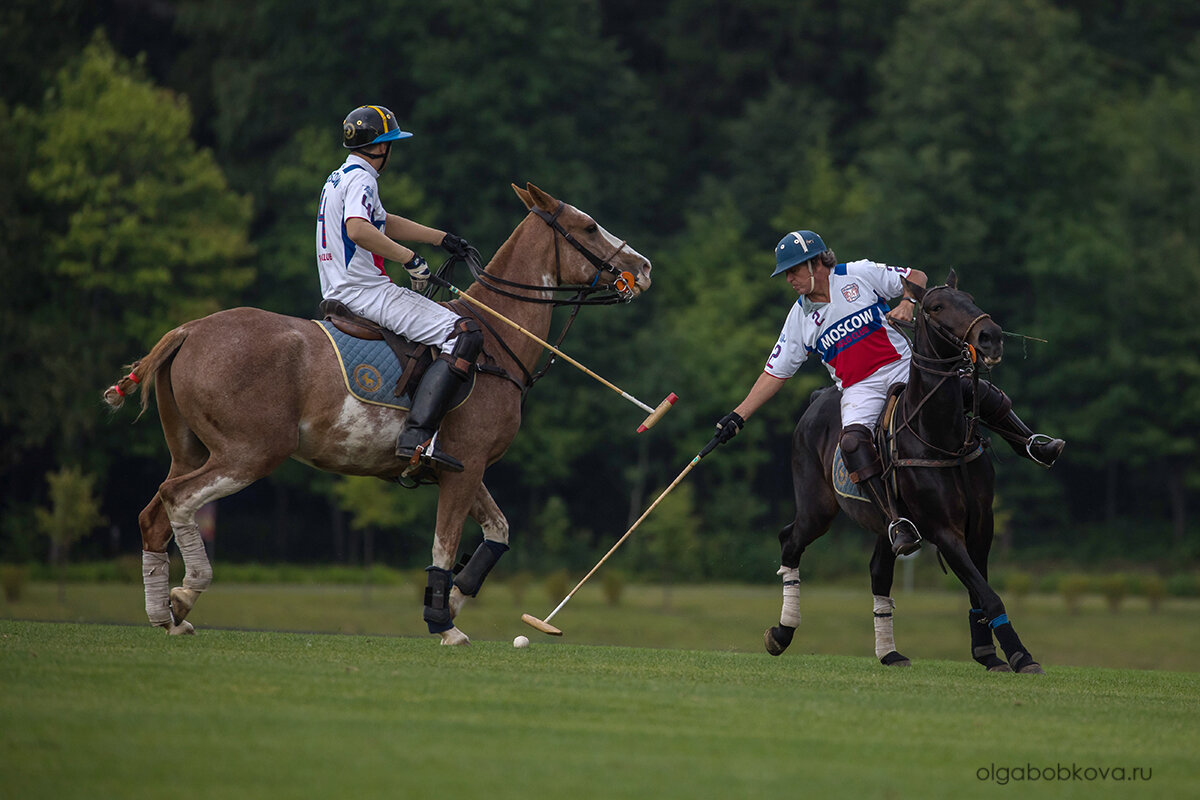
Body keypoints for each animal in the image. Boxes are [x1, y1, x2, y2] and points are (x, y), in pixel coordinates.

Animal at [103, 183, 652, 642]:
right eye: (588, 227)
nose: (644, 267)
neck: (498, 341)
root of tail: (188, 330)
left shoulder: (458, 466)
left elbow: (497, 533)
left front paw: (452, 601)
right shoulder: (467, 464)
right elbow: (444, 546)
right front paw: (443, 623)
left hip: (191, 449)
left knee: (153, 513)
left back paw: (165, 615)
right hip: (249, 451)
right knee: (178, 499)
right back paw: (185, 594)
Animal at [768, 272, 1041, 671]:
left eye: (970, 297)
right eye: (936, 307)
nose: (990, 335)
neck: (942, 437)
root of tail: (818, 398)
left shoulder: (982, 521)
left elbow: (979, 588)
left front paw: (988, 653)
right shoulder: (942, 529)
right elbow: (988, 594)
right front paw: (1020, 654)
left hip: (885, 523)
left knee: (879, 569)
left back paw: (889, 652)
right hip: (817, 507)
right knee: (790, 537)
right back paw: (782, 632)